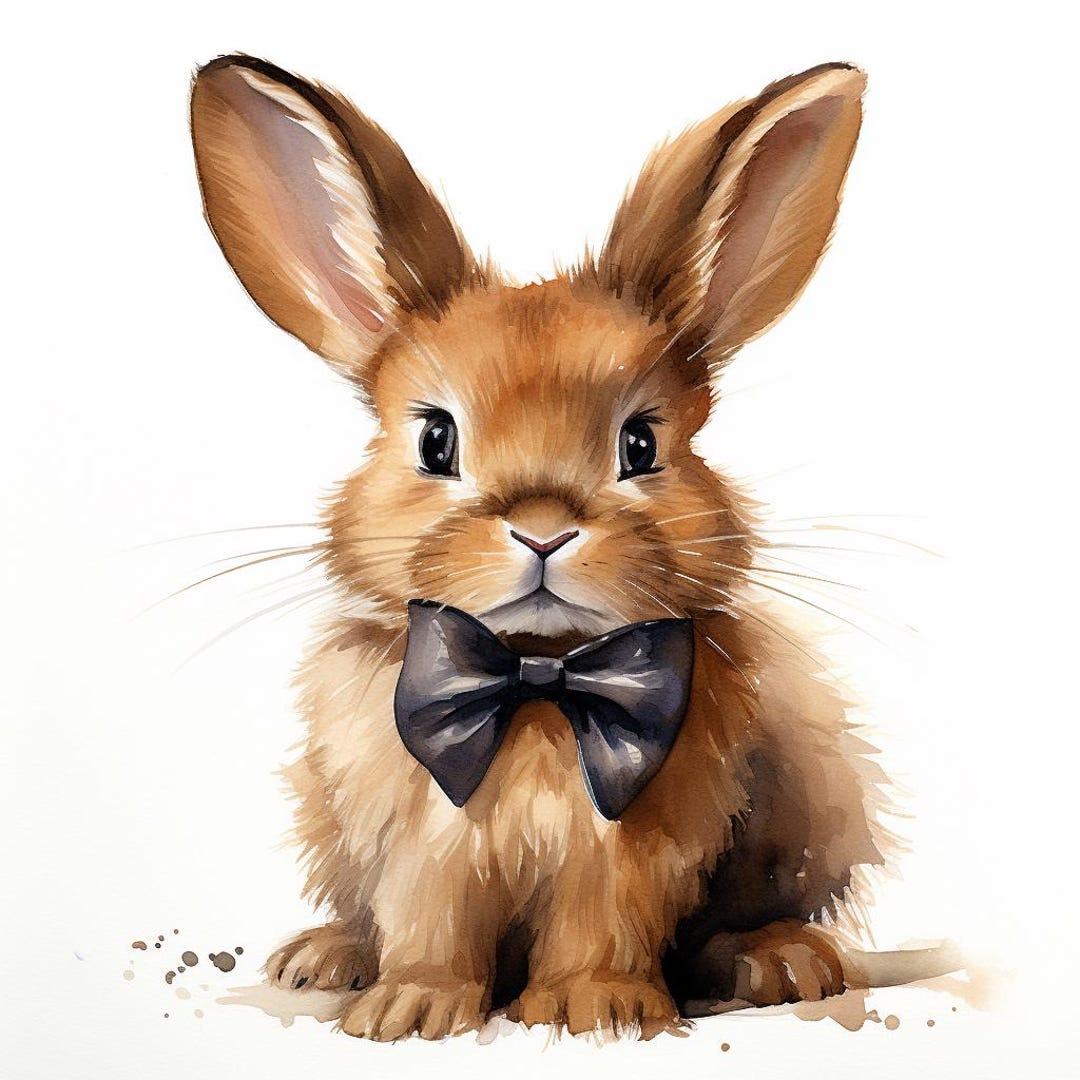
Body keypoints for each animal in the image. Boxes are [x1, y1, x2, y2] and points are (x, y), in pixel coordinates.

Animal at [189, 54, 890, 1041]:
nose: (545, 527)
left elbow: (603, 922)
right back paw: (323, 958)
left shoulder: (637, 849)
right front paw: (409, 1009)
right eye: (434, 440)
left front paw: (598, 1010)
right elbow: (427, 919)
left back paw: (780, 961)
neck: (537, 679)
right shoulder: (421, 842)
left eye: (642, 443)